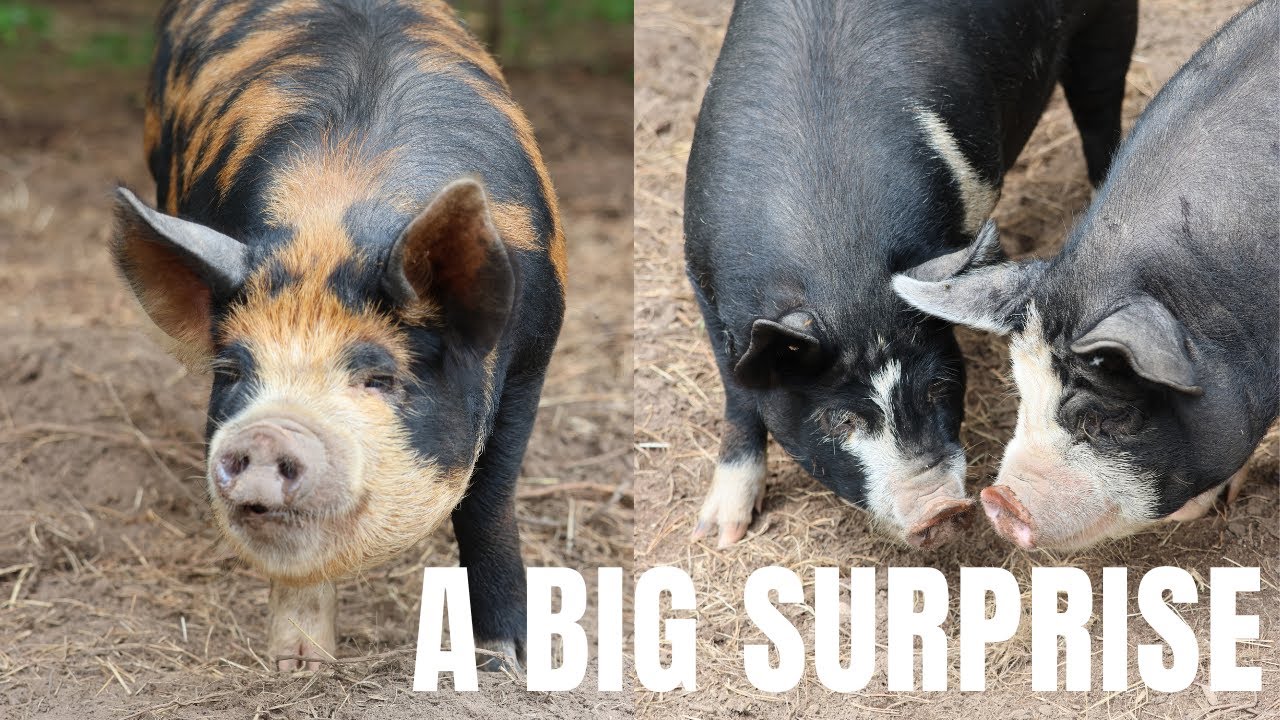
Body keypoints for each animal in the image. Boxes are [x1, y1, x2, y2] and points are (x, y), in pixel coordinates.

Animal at [111, 0, 565, 670]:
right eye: (230, 372)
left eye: (380, 376)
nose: (268, 432)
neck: (338, 221)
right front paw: (297, 665)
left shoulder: (532, 355)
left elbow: (487, 501)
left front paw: (507, 658)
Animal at [683, 0, 1138, 548]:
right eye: (840, 419)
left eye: (938, 387)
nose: (941, 510)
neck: (839, 265)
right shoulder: (702, 279)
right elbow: (737, 392)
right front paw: (720, 534)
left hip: (1109, 25)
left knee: (1100, 114)